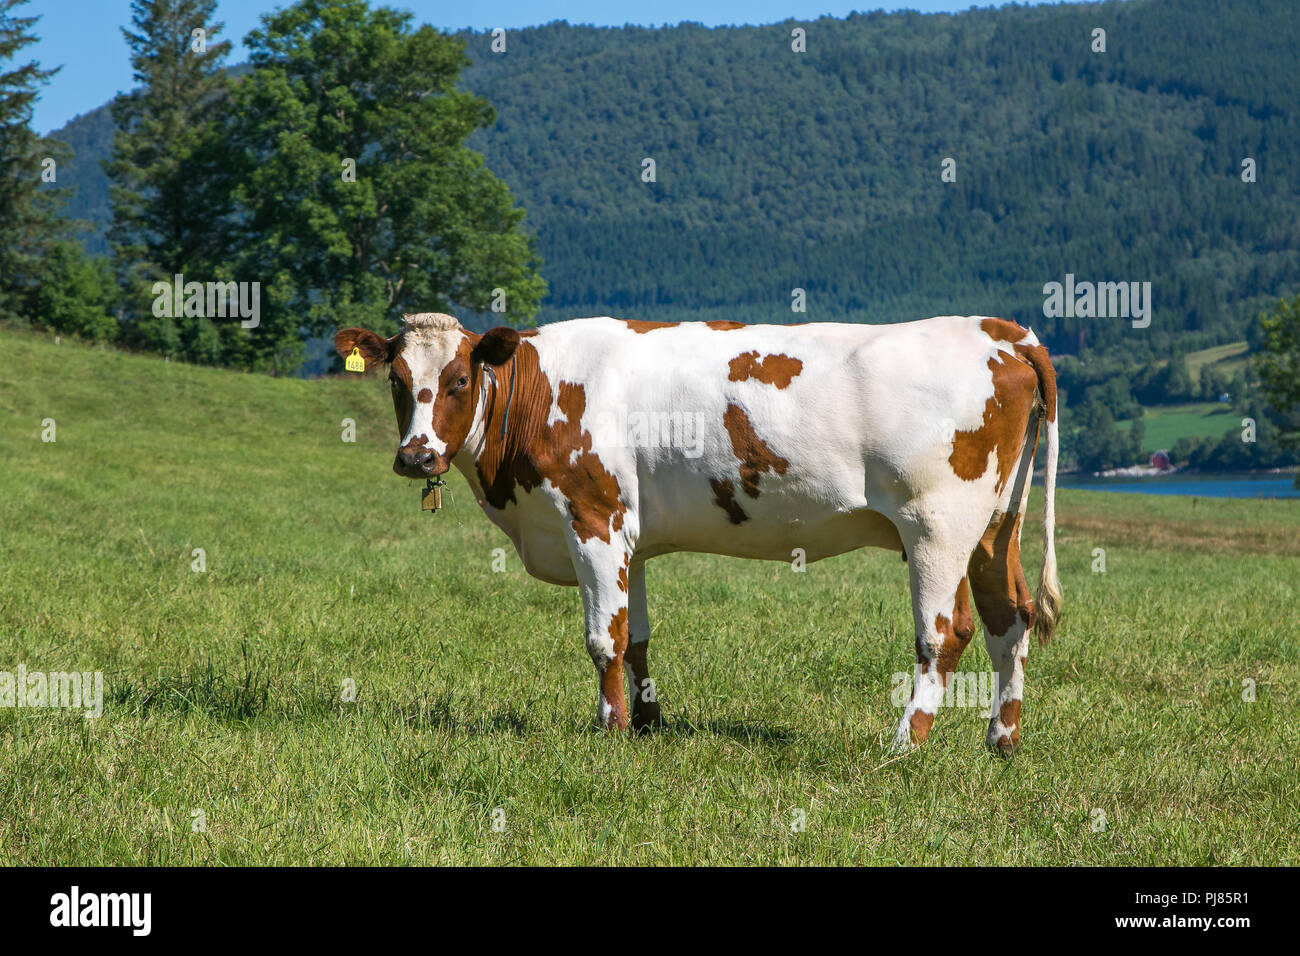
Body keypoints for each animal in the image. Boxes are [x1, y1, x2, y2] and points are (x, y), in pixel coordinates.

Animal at [335, 312, 1061, 754]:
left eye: (459, 379)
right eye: (397, 380)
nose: (416, 457)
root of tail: (998, 330)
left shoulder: (593, 518)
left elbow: (603, 638)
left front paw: (609, 730)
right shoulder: (628, 536)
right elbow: (636, 637)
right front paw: (647, 724)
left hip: (937, 525)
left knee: (946, 633)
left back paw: (905, 742)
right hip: (996, 525)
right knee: (1010, 619)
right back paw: (1001, 740)